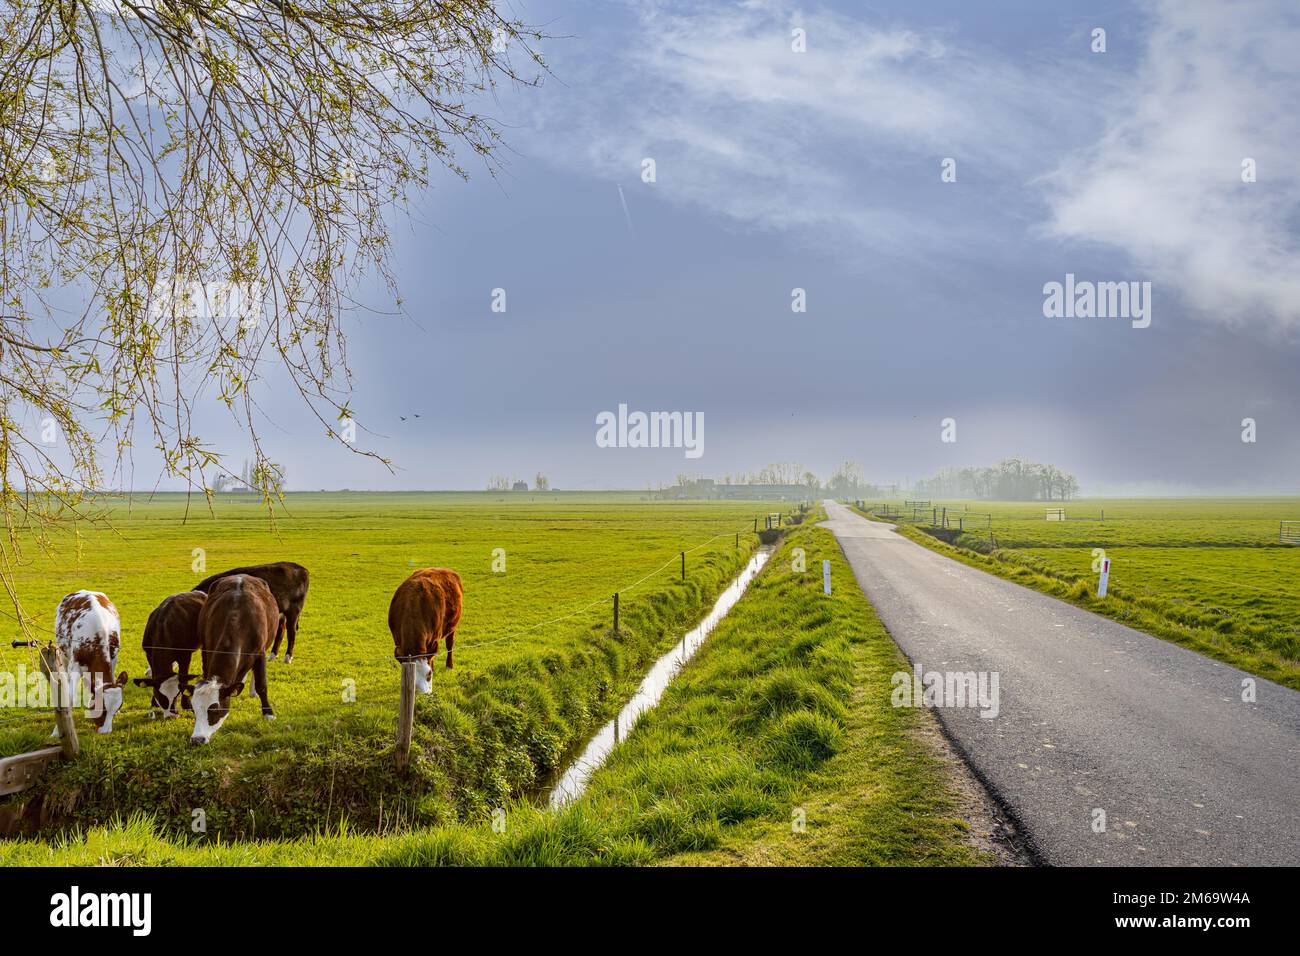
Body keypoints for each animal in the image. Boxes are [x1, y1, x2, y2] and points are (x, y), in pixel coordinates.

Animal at [53, 590, 128, 734]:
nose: (105, 732)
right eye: (102, 708)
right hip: (64, 655)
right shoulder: (75, 666)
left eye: (117, 708)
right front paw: (57, 731)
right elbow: (70, 698)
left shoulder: (113, 659)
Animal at [188, 575, 279, 744]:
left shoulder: (260, 653)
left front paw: (268, 713)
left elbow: (262, 685)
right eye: (193, 709)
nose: (197, 739)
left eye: (214, 710)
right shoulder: (206, 647)